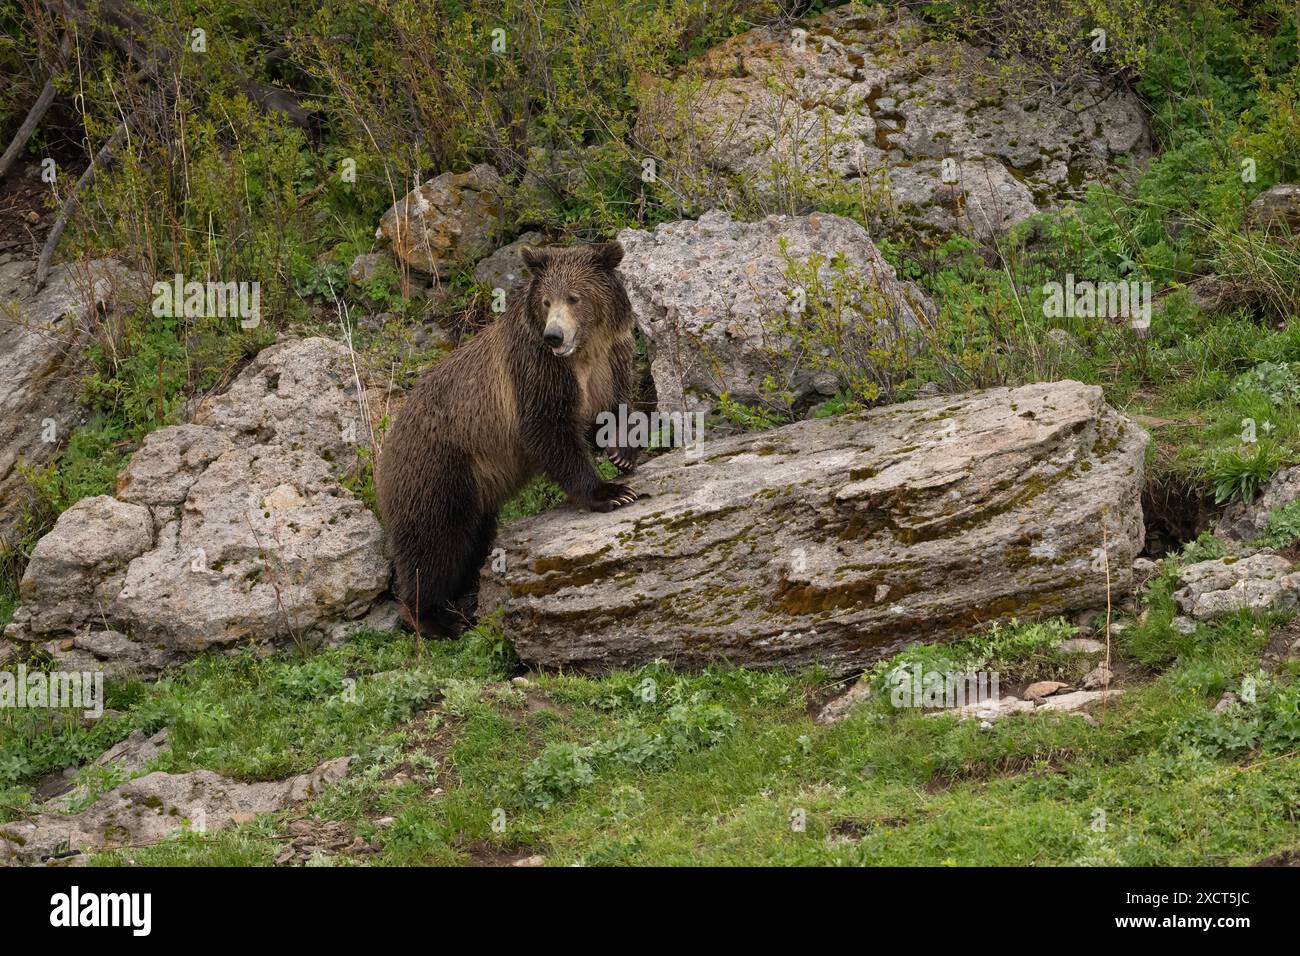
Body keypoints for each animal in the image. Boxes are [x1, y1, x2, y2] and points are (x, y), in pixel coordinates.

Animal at [375, 240, 641, 637]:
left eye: (575, 297)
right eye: (546, 301)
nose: (554, 336)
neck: (584, 350)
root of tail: (386, 447)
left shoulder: (612, 360)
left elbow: (619, 405)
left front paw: (623, 453)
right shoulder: (535, 371)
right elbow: (549, 431)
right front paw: (610, 492)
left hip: (475, 490)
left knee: (470, 541)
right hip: (438, 467)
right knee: (436, 541)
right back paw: (435, 618)